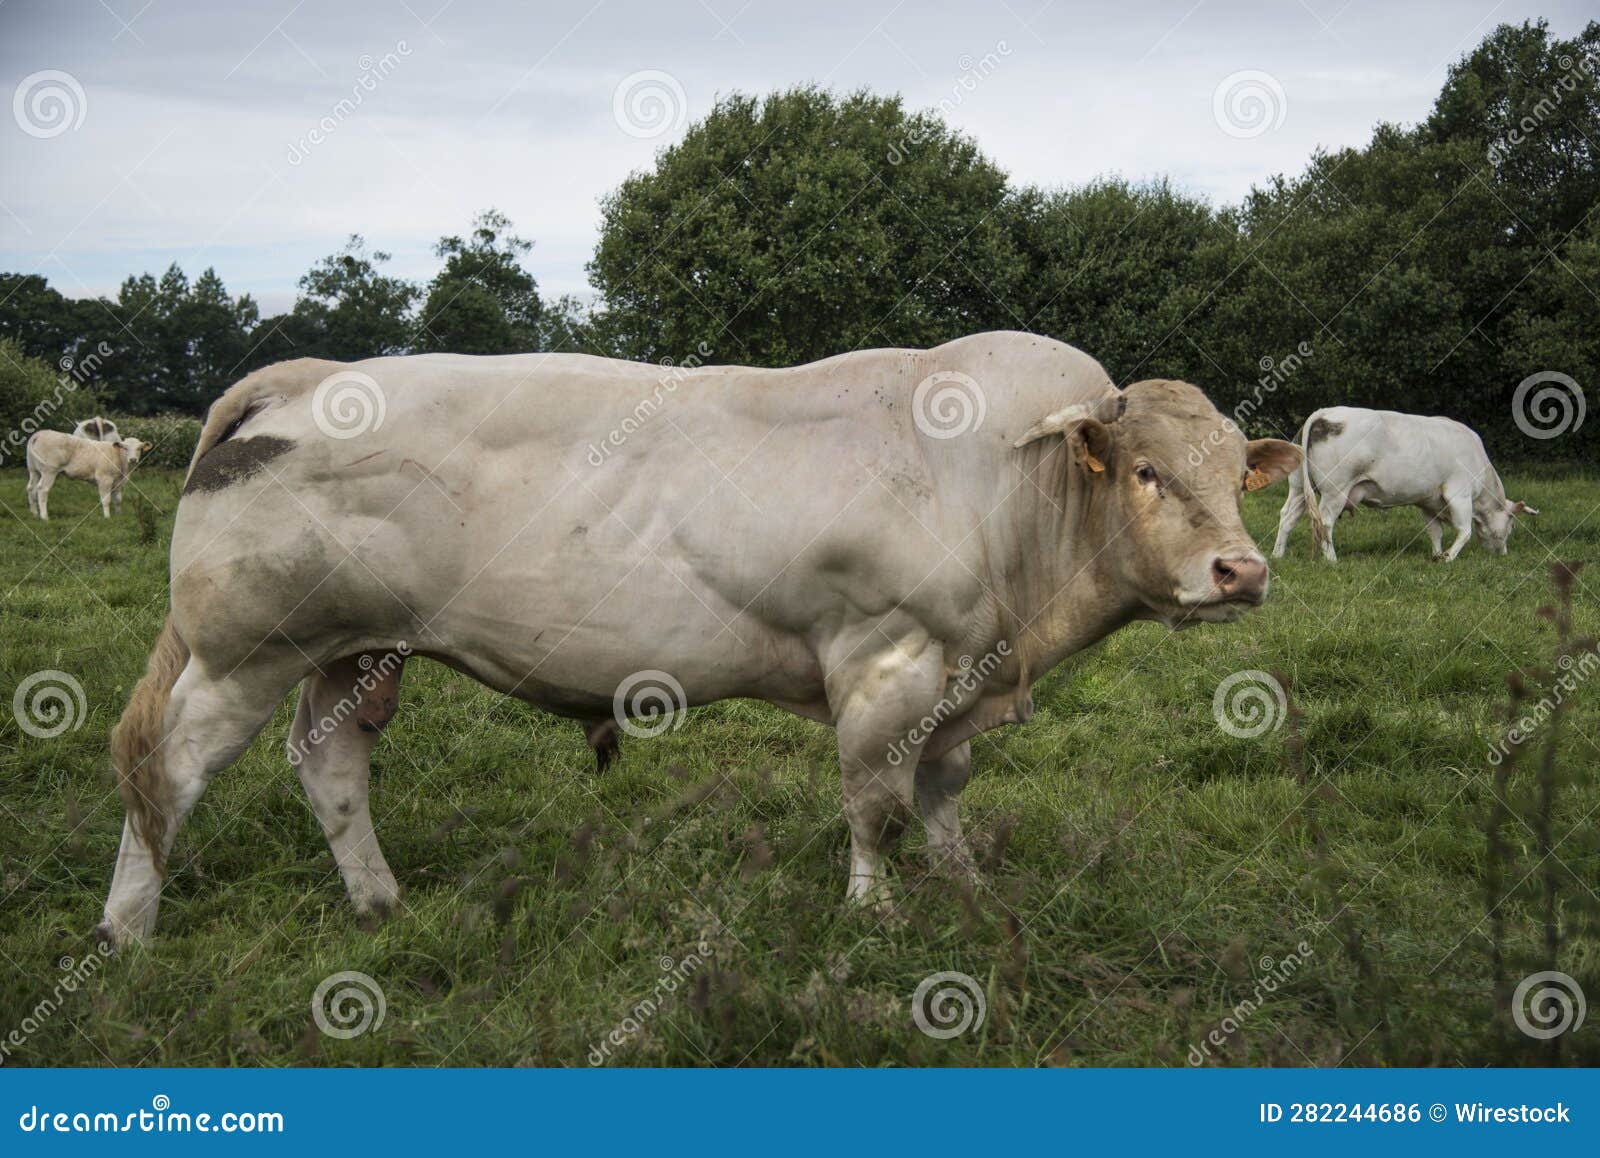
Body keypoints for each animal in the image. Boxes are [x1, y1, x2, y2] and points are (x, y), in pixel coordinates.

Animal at [96, 332, 1302, 946]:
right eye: (1145, 471)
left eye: (1235, 468)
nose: (1241, 573)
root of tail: (306, 374)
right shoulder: (886, 661)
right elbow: (875, 803)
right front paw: (872, 910)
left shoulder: (963, 676)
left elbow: (942, 796)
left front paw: (964, 890)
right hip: (242, 652)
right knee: (164, 766)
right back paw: (128, 929)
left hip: (355, 651)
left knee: (331, 767)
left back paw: (379, 901)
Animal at [1272, 406, 1537, 562]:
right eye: (1512, 524)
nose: (1503, 554)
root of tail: (1323, 413)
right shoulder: (1458, 494)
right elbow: (1465, 530)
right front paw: (1448, 557)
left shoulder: (1428, 501)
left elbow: (1435, 531)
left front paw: (1436, 554)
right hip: (1335, 489)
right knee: (1325, 522)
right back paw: (1332, 559)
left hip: (1298, 487)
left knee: (1287, 516)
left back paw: (1277, 555)